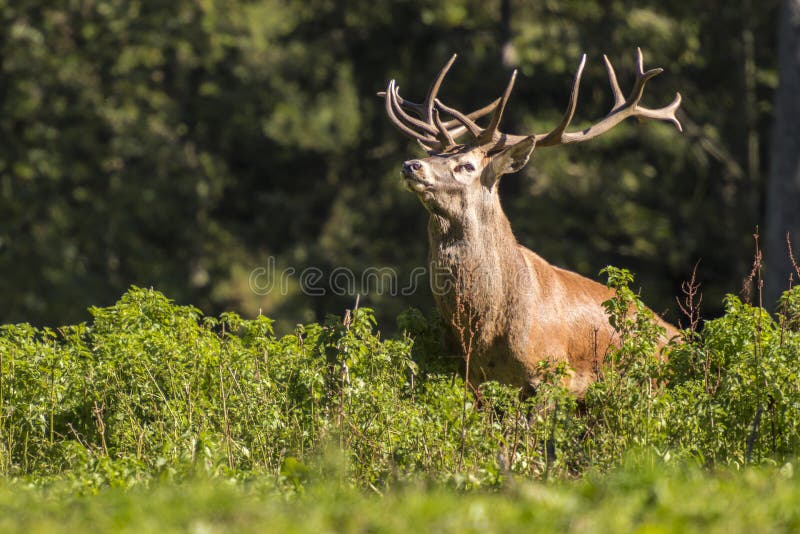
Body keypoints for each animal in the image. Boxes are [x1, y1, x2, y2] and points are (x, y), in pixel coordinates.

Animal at [380, 49, 681, 398]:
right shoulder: (474, 381)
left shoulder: (552, 373)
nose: (411, 165)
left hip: (654, 385)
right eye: (432, 154)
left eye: (466, 165)